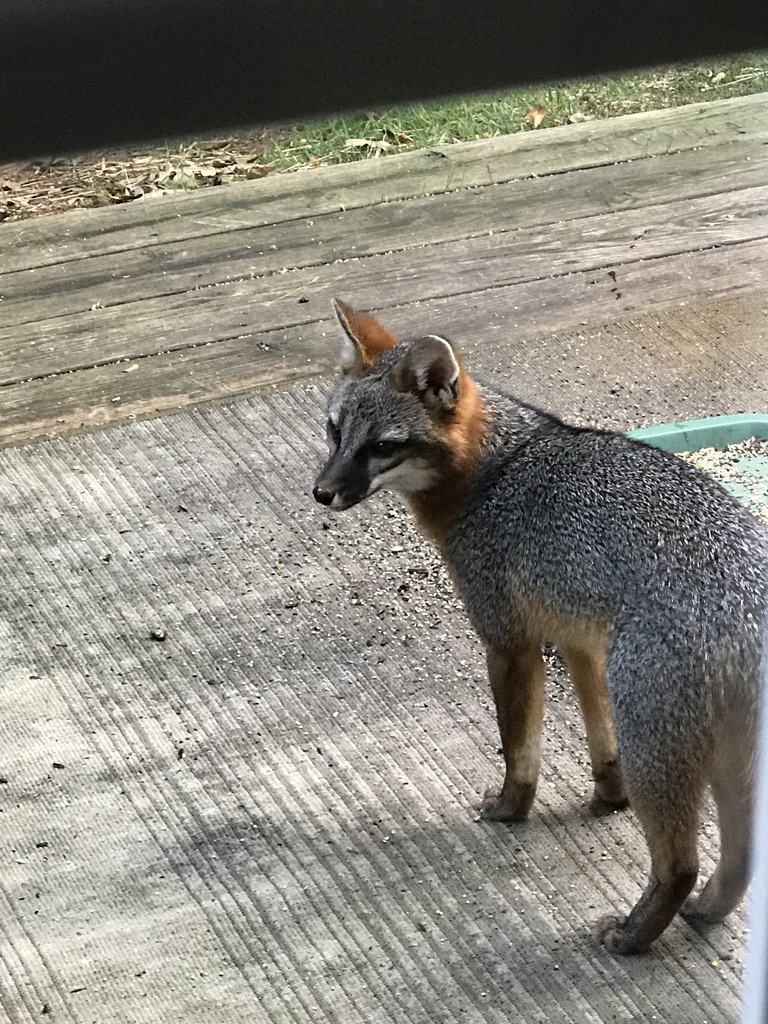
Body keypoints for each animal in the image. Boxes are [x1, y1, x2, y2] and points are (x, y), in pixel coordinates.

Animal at [312, 298, 768, 955]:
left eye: (382, 446)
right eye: (334, 432)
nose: (320, 493)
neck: (495, 471)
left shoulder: (509, 643)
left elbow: (518, 751)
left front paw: (509, 810)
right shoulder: (580, 644)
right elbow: (601, 745)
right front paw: (606, 799)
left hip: (659, 743)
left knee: (681, 863)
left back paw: (633, 936)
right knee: (741, 855)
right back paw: (705, 912)